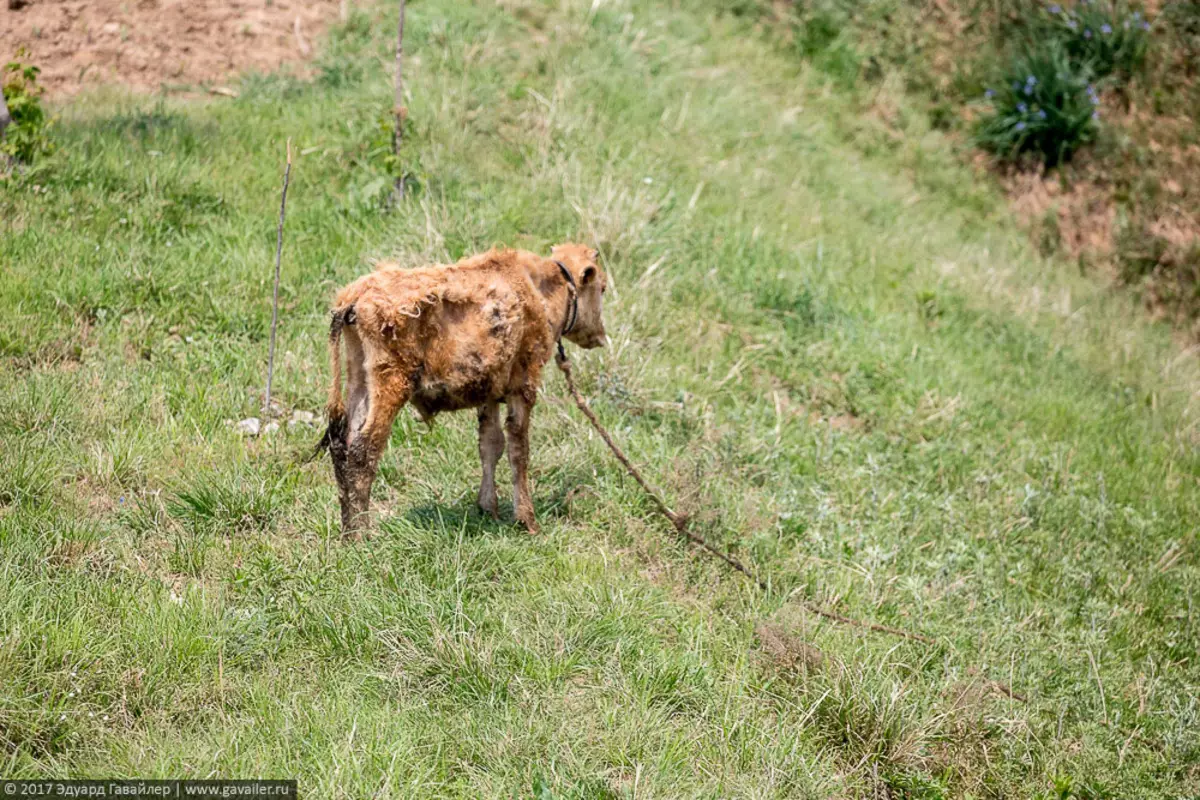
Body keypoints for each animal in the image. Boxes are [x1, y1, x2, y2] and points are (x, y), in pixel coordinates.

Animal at [316, 239, 604, 537]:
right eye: (602, 288)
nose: (600, 336)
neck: (536, 286)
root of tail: (354, 298)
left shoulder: (490, 392)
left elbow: (490, 444)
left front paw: (488, 509)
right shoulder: (523, 385)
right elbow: (518, 449)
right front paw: (527, 519)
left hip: (359, 379)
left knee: (342, 446)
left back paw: (347, 529)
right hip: (391, 384)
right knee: (363, 449)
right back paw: (361, 535)